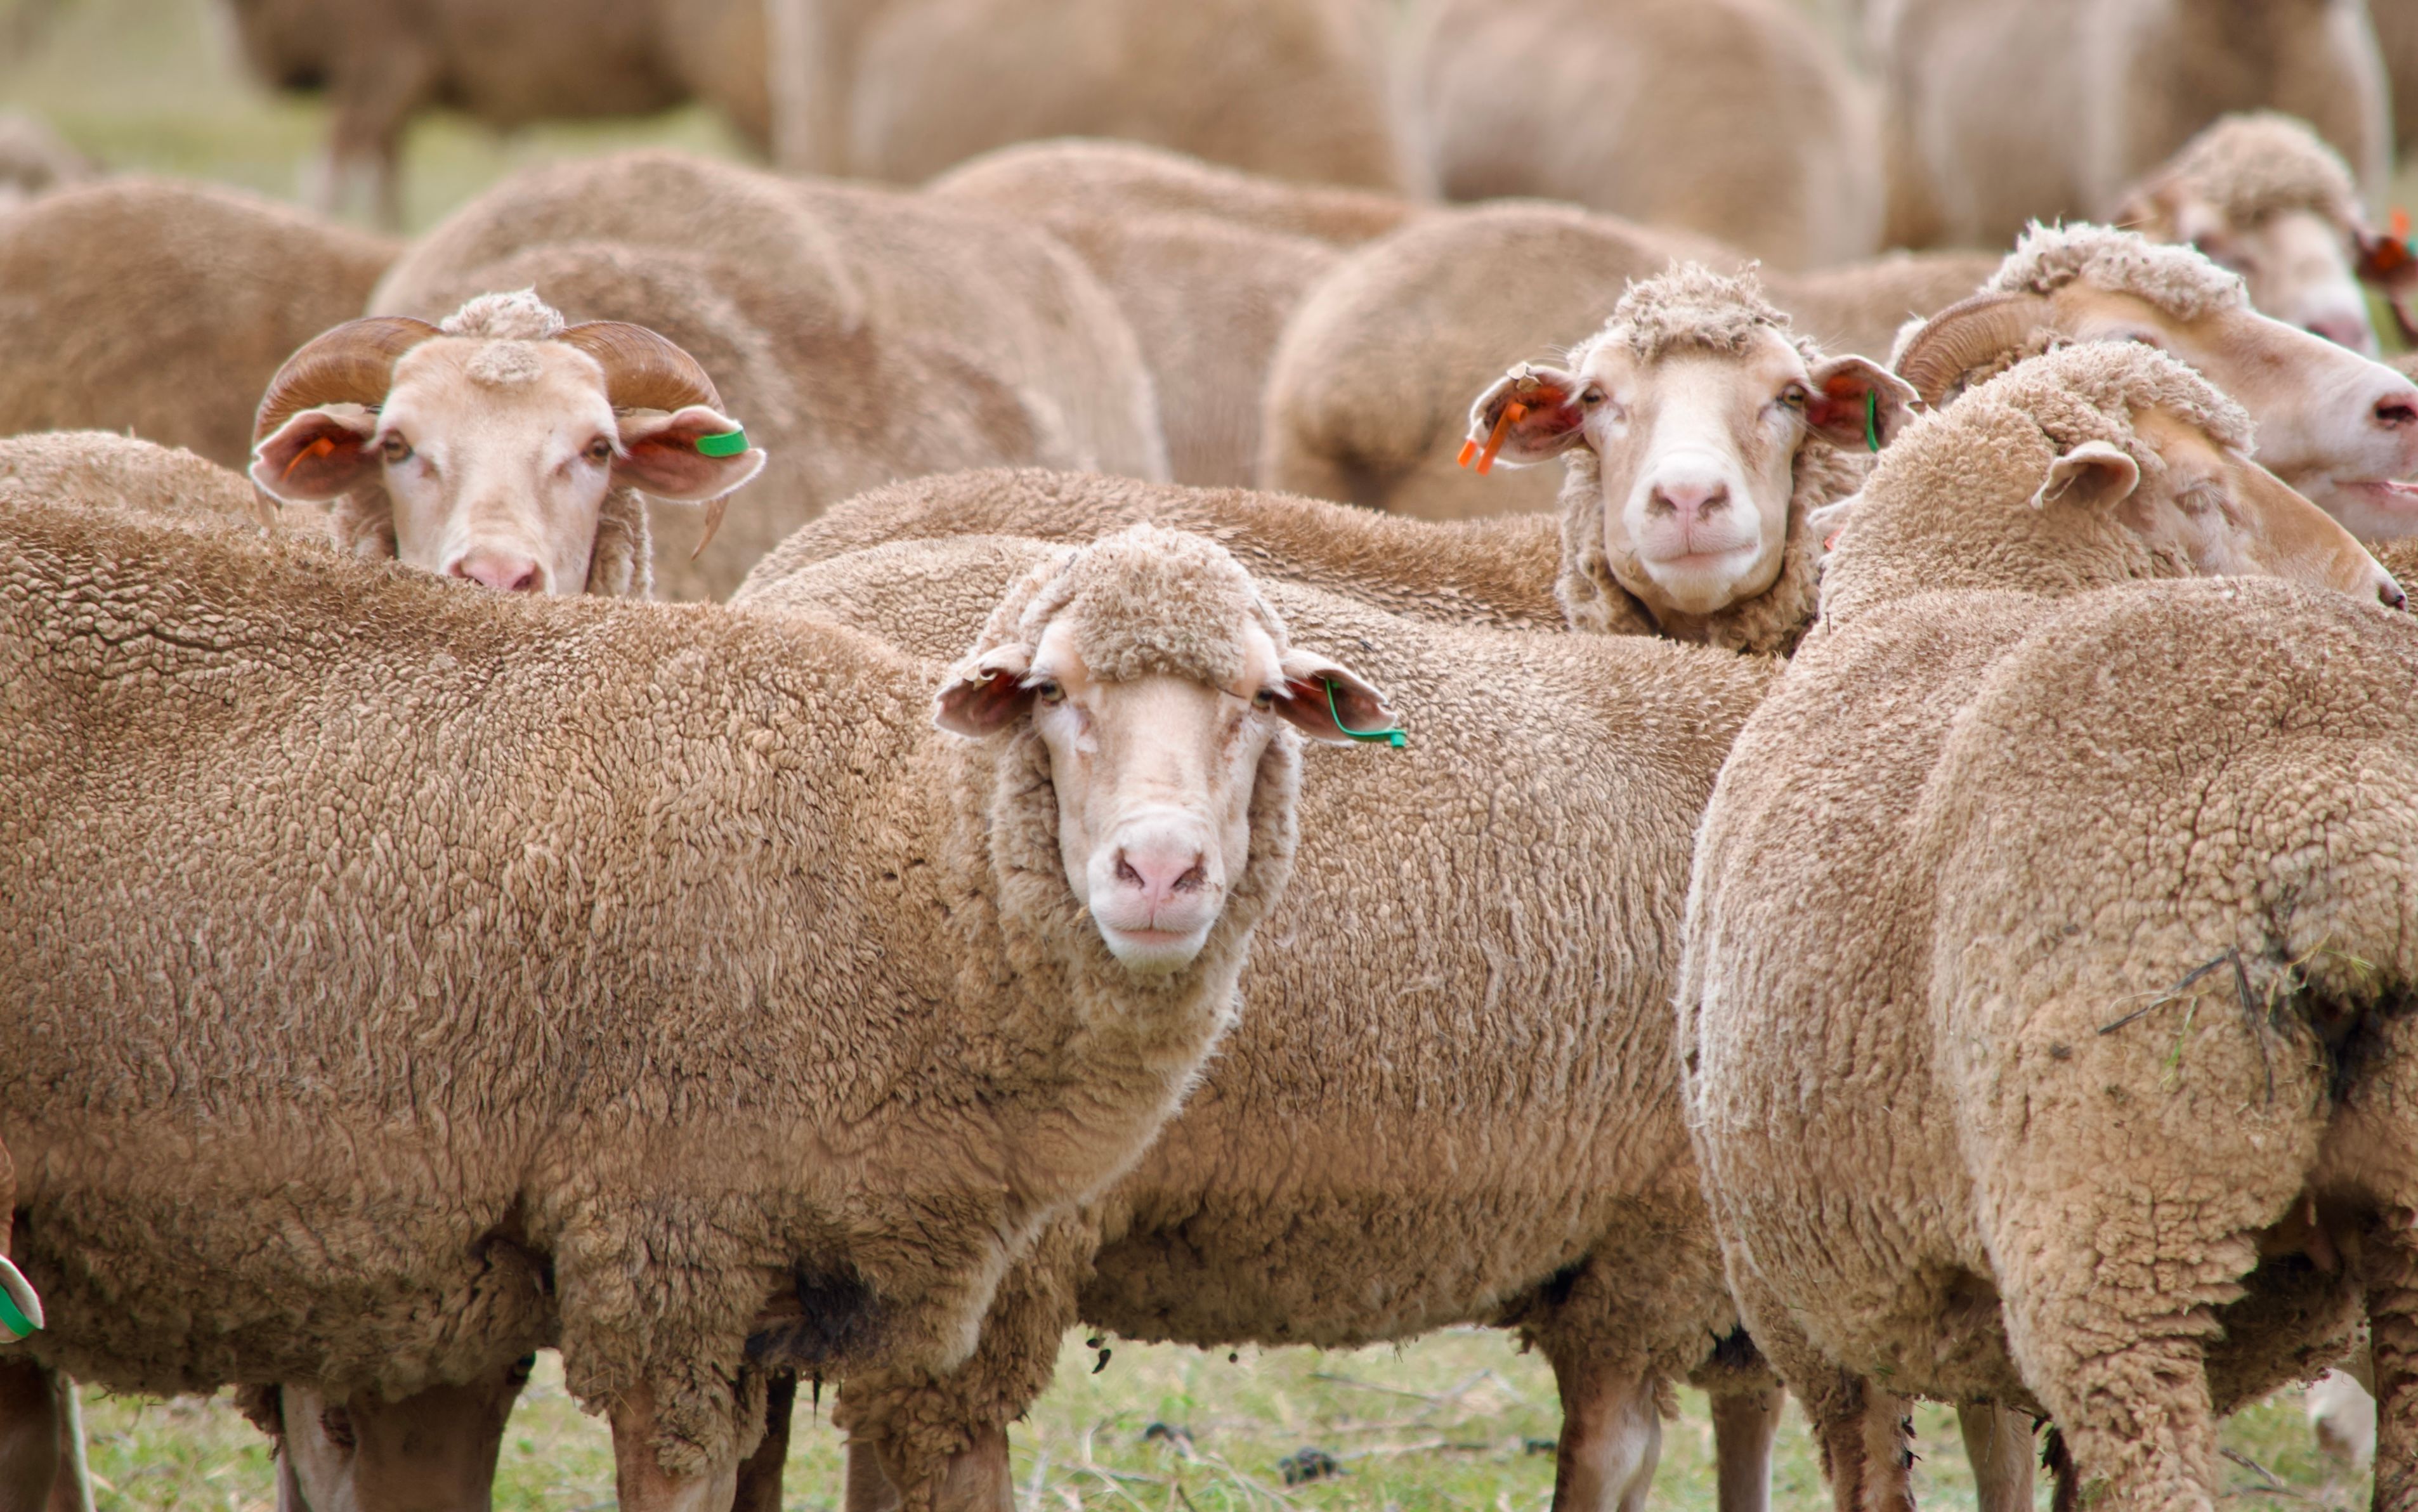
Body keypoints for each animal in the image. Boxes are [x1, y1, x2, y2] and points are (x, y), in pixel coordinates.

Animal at [1679, 340, 2405, 1512]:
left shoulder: (1807, 1301)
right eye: (2198, 492)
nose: (2389, 592)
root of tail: (2337, 839)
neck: (1955, 585)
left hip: (2117, 1219)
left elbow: (1874, 1476)